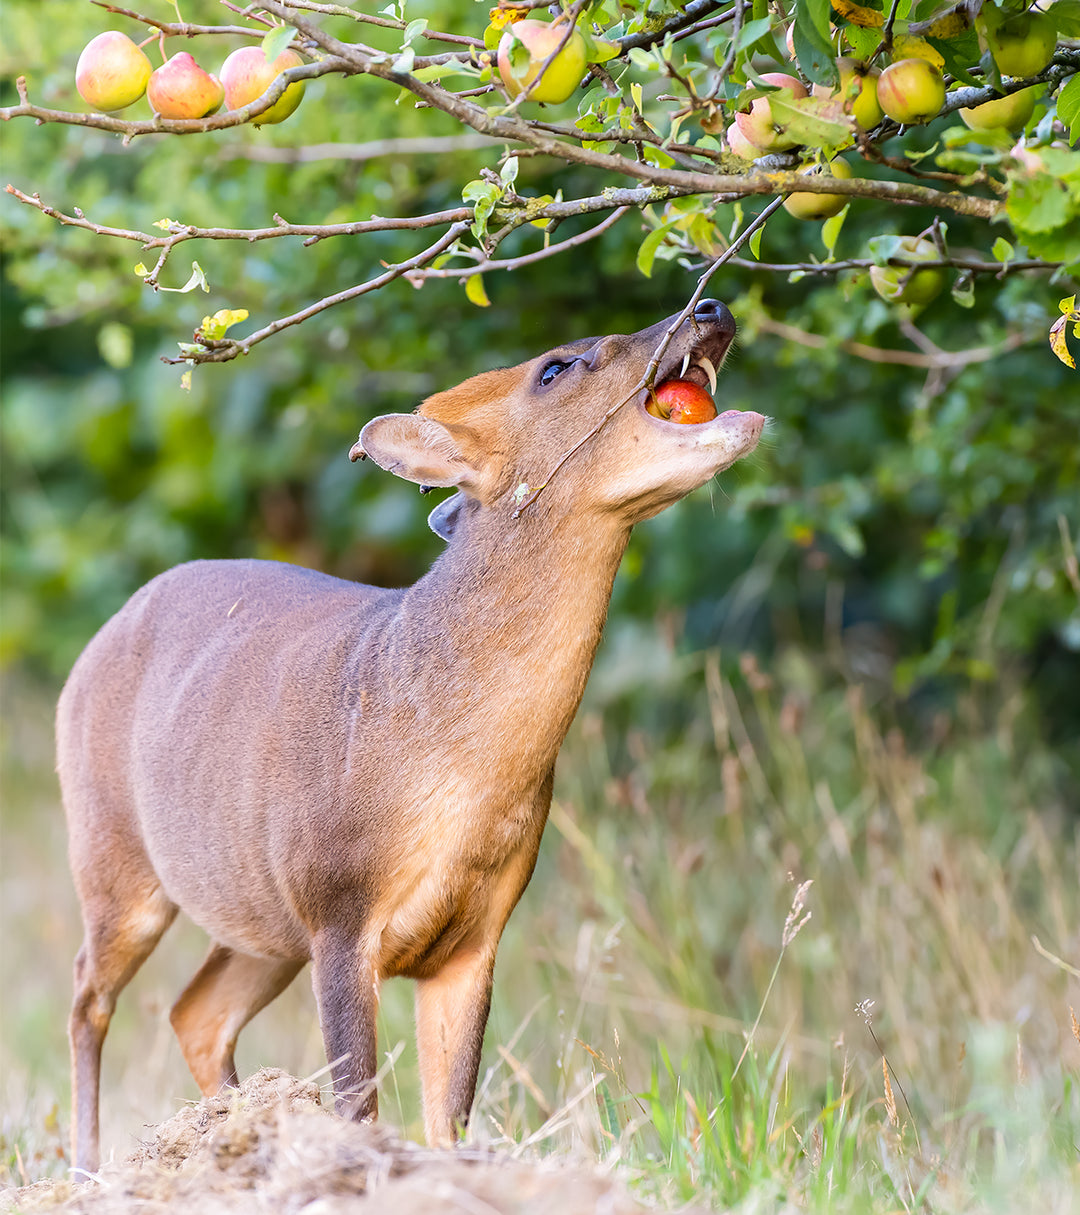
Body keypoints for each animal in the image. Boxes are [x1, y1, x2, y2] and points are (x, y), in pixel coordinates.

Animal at [57, 300, 764, 1172]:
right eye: (556, 366)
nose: (710, 307)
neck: (441, 750)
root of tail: (94, 645)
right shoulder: (336, 902)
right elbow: (358, 1099)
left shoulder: (477, 930)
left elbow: (450, 1112)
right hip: (113, 851)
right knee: (89, 994)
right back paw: (91, 1164)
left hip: (259, 915)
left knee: (195, 1011)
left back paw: (230, 1133)